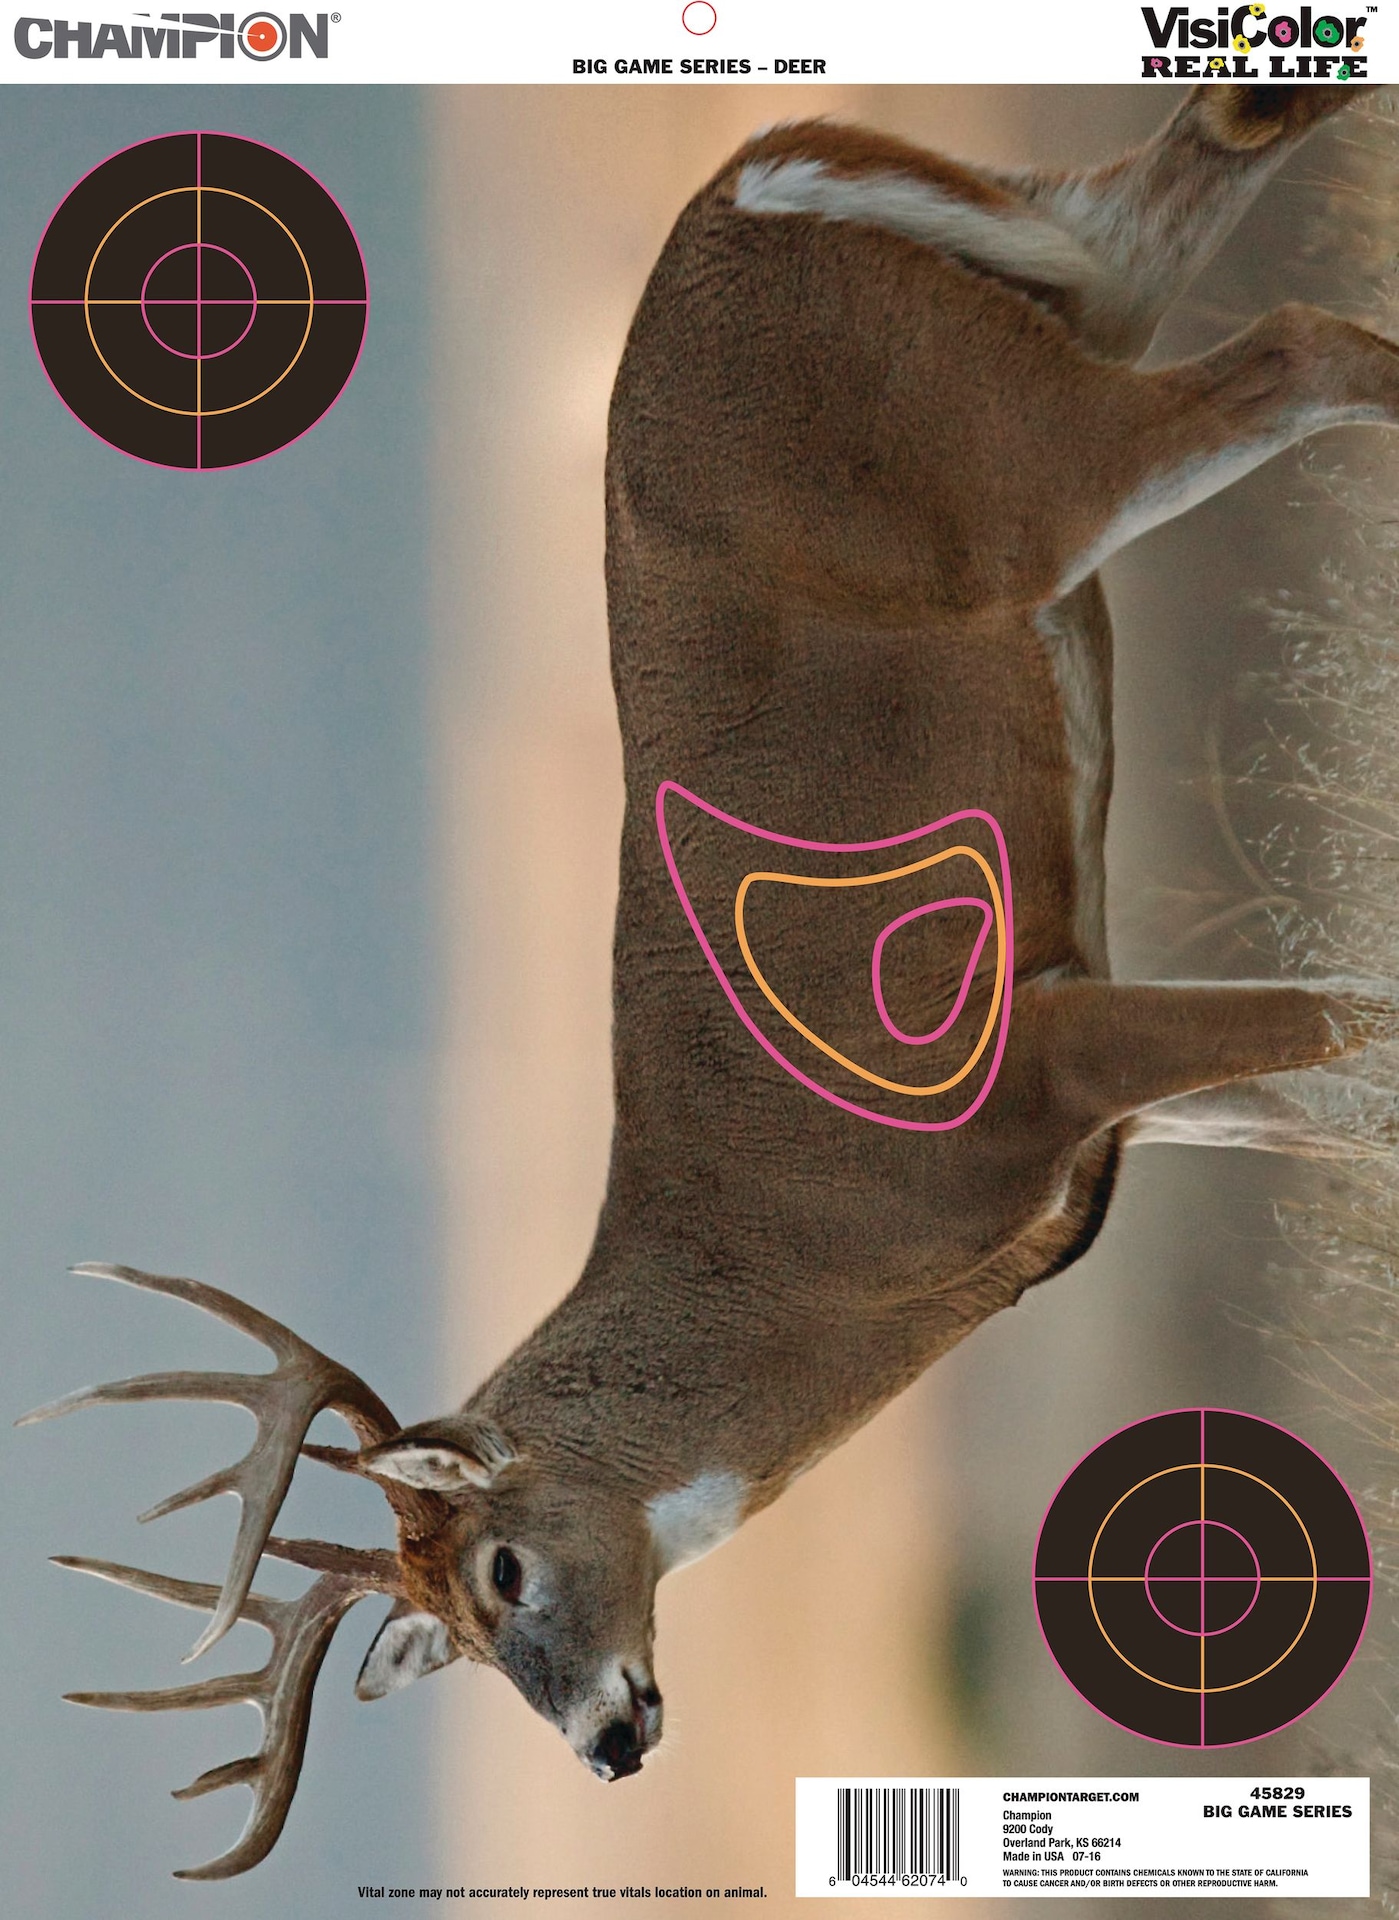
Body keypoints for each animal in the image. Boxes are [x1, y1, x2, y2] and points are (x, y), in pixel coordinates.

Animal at [22, 83, 1399, 1878]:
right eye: (456, 1646)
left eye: (498, 1572)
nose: (608, 1740)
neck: (804, 1268)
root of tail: (736, 195)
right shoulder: (1097, 1104)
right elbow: (1341, 1101)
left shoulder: (1033, 1049)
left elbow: (1349, 1022)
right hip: (1063, 289)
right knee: (1219, 152)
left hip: (1017, 468)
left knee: (1303, 341)